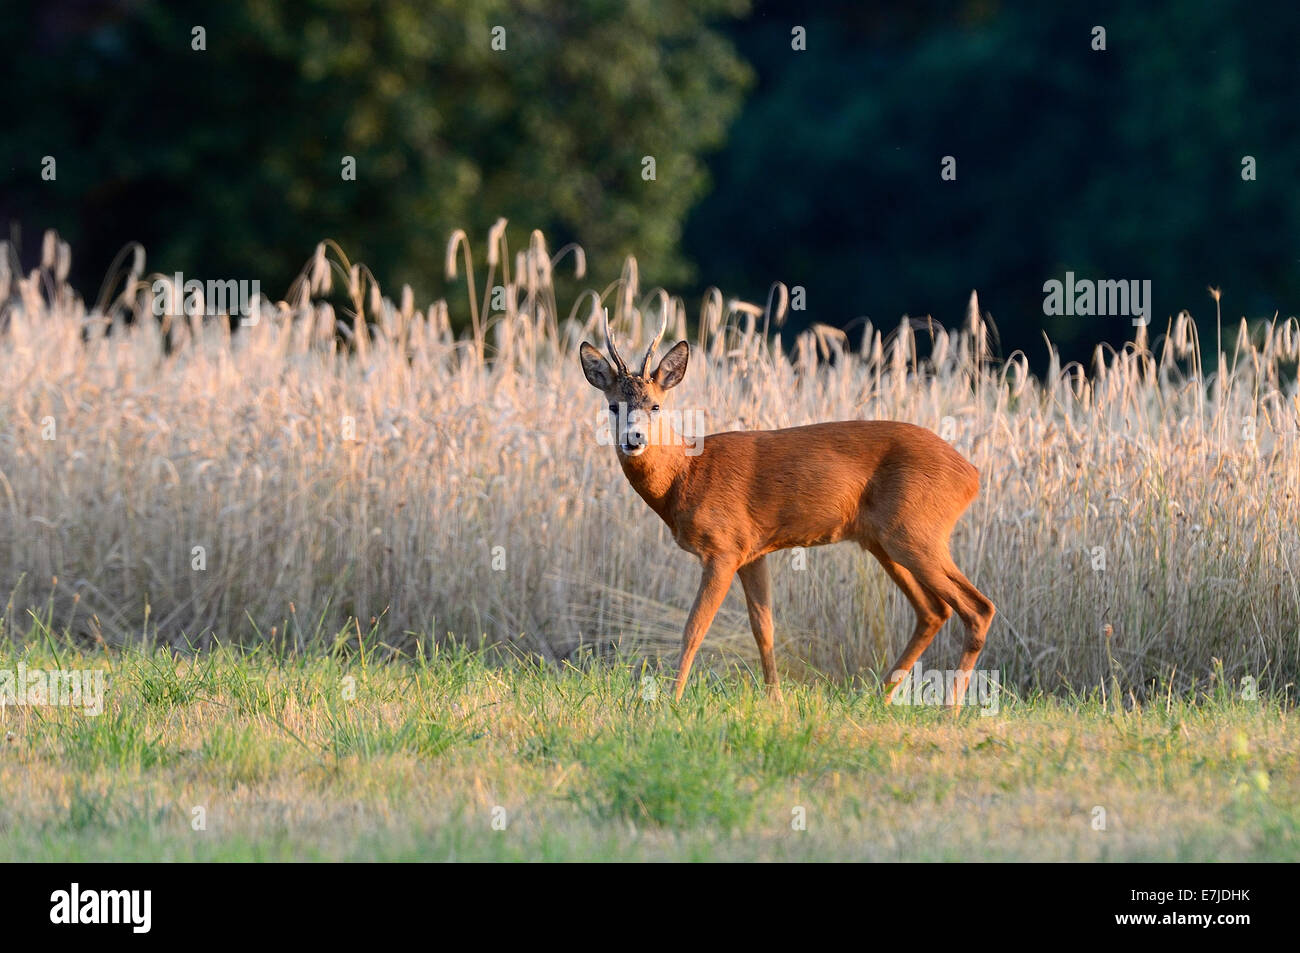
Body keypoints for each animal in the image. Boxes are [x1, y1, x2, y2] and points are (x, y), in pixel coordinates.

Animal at [579, 306, 995, 706]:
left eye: (655, 405)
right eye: (614, 406)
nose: (634, 439)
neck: (687, 473)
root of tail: (972, 475)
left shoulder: (722, 548)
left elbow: (694, 628)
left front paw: (669, 701)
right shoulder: (751, 551)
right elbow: (763, 627)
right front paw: (775, 699)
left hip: (916, 532)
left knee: (977, 607)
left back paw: (950, 707)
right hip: (883, 541)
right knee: (933, 610)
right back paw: (880, 698)